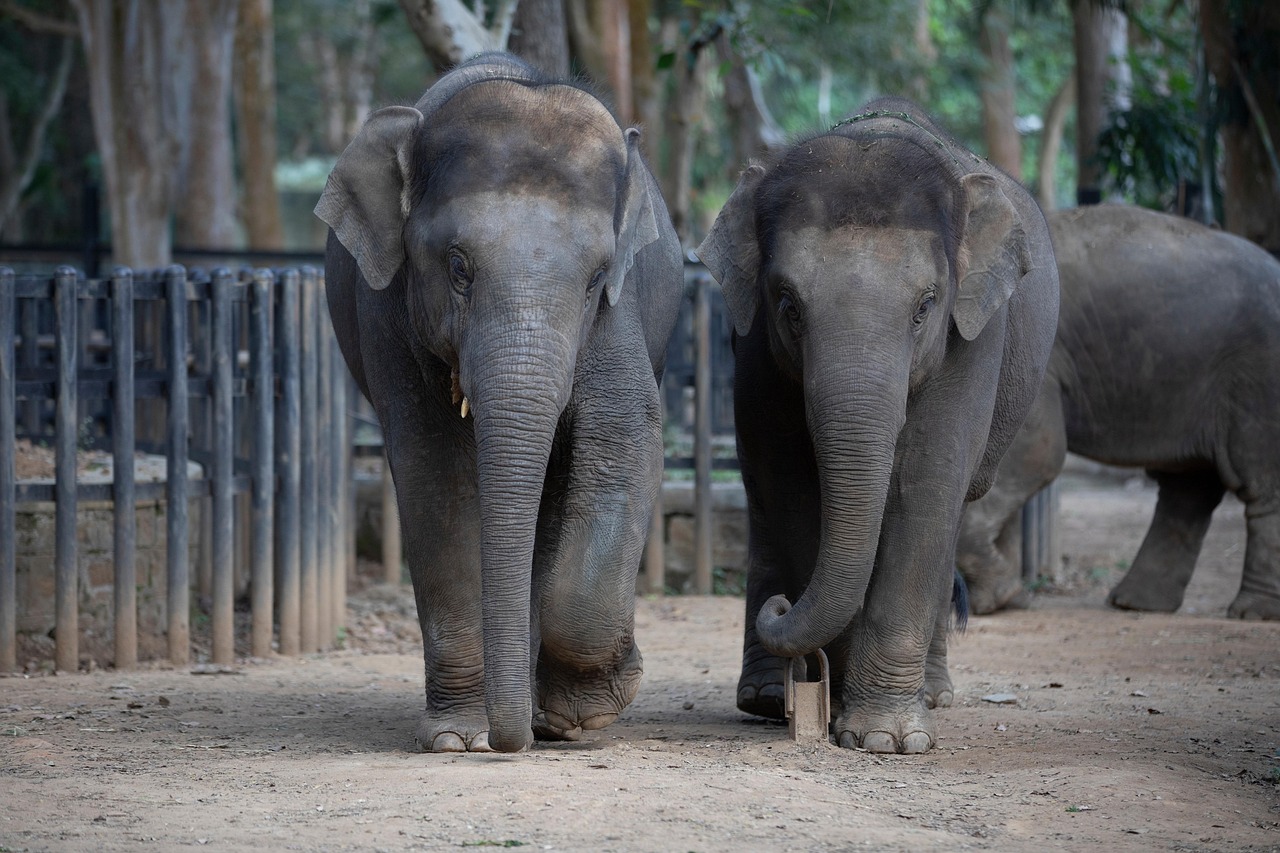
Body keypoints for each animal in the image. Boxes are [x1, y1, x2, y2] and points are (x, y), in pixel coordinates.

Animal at [315, 53, 684, 753]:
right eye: (458, 267)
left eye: (597, 278)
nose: (506, 743)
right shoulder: (389, 312)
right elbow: (433, 472)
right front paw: (459, 739)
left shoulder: (617, 316)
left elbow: (625, 436)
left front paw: (590, 709)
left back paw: (545, 718)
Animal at [695, 98, 1060, 754]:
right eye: (788, 304)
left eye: (926, 306)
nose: (783, 608)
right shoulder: (754, 342)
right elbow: (792, 483)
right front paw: (831, 701)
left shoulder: (973, 338)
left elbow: (925, 483)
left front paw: (885, 738)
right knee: (762, 499)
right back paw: (765, 698)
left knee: (952, 512)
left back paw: (933, 696)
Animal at [956, 204, 1280, 620]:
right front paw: (1005, 599)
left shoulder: (1036, 358)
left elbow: (1036, 454)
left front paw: (1001, 599)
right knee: (1189, 488)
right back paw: (1134, 602)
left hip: (1258, 377)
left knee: (1255, 480)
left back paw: (1251, 612)